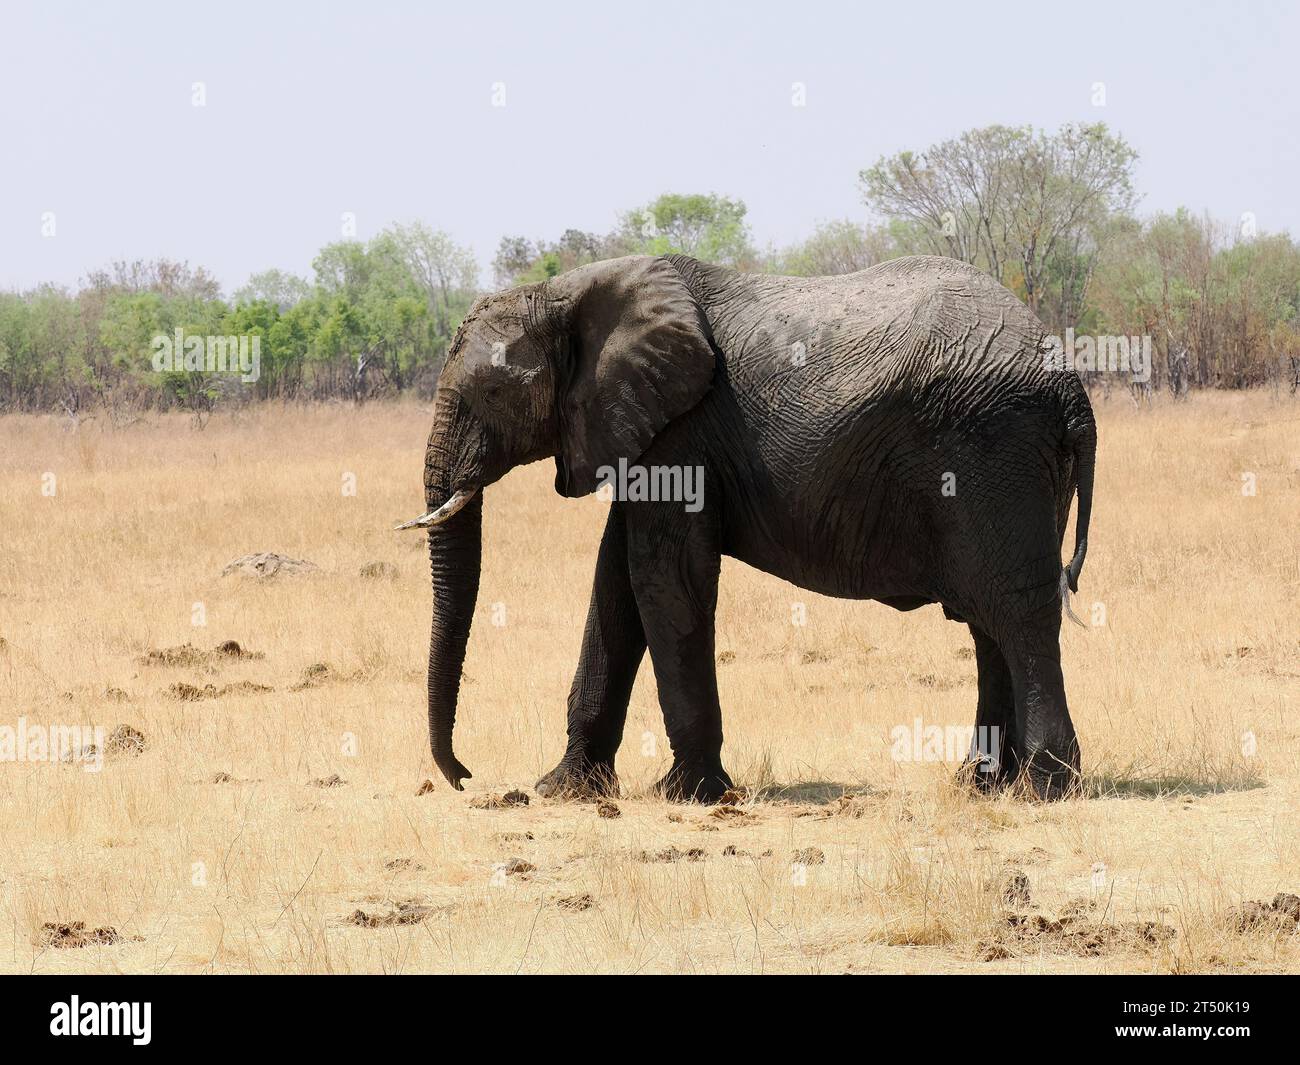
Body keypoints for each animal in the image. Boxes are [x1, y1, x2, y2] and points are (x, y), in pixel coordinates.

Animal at [397, 254, 1096, 802]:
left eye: (490, 396)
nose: (464, 777)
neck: (570, 291)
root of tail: (1071, 388)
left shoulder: (681, 435)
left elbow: (665, 582)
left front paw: (689, 795)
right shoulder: (642, 434)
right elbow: (615, 585)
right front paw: (562, 790)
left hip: (993, 451)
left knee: (1016, 612)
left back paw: (1044, 788)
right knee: (987, 618)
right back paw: (982, 785)